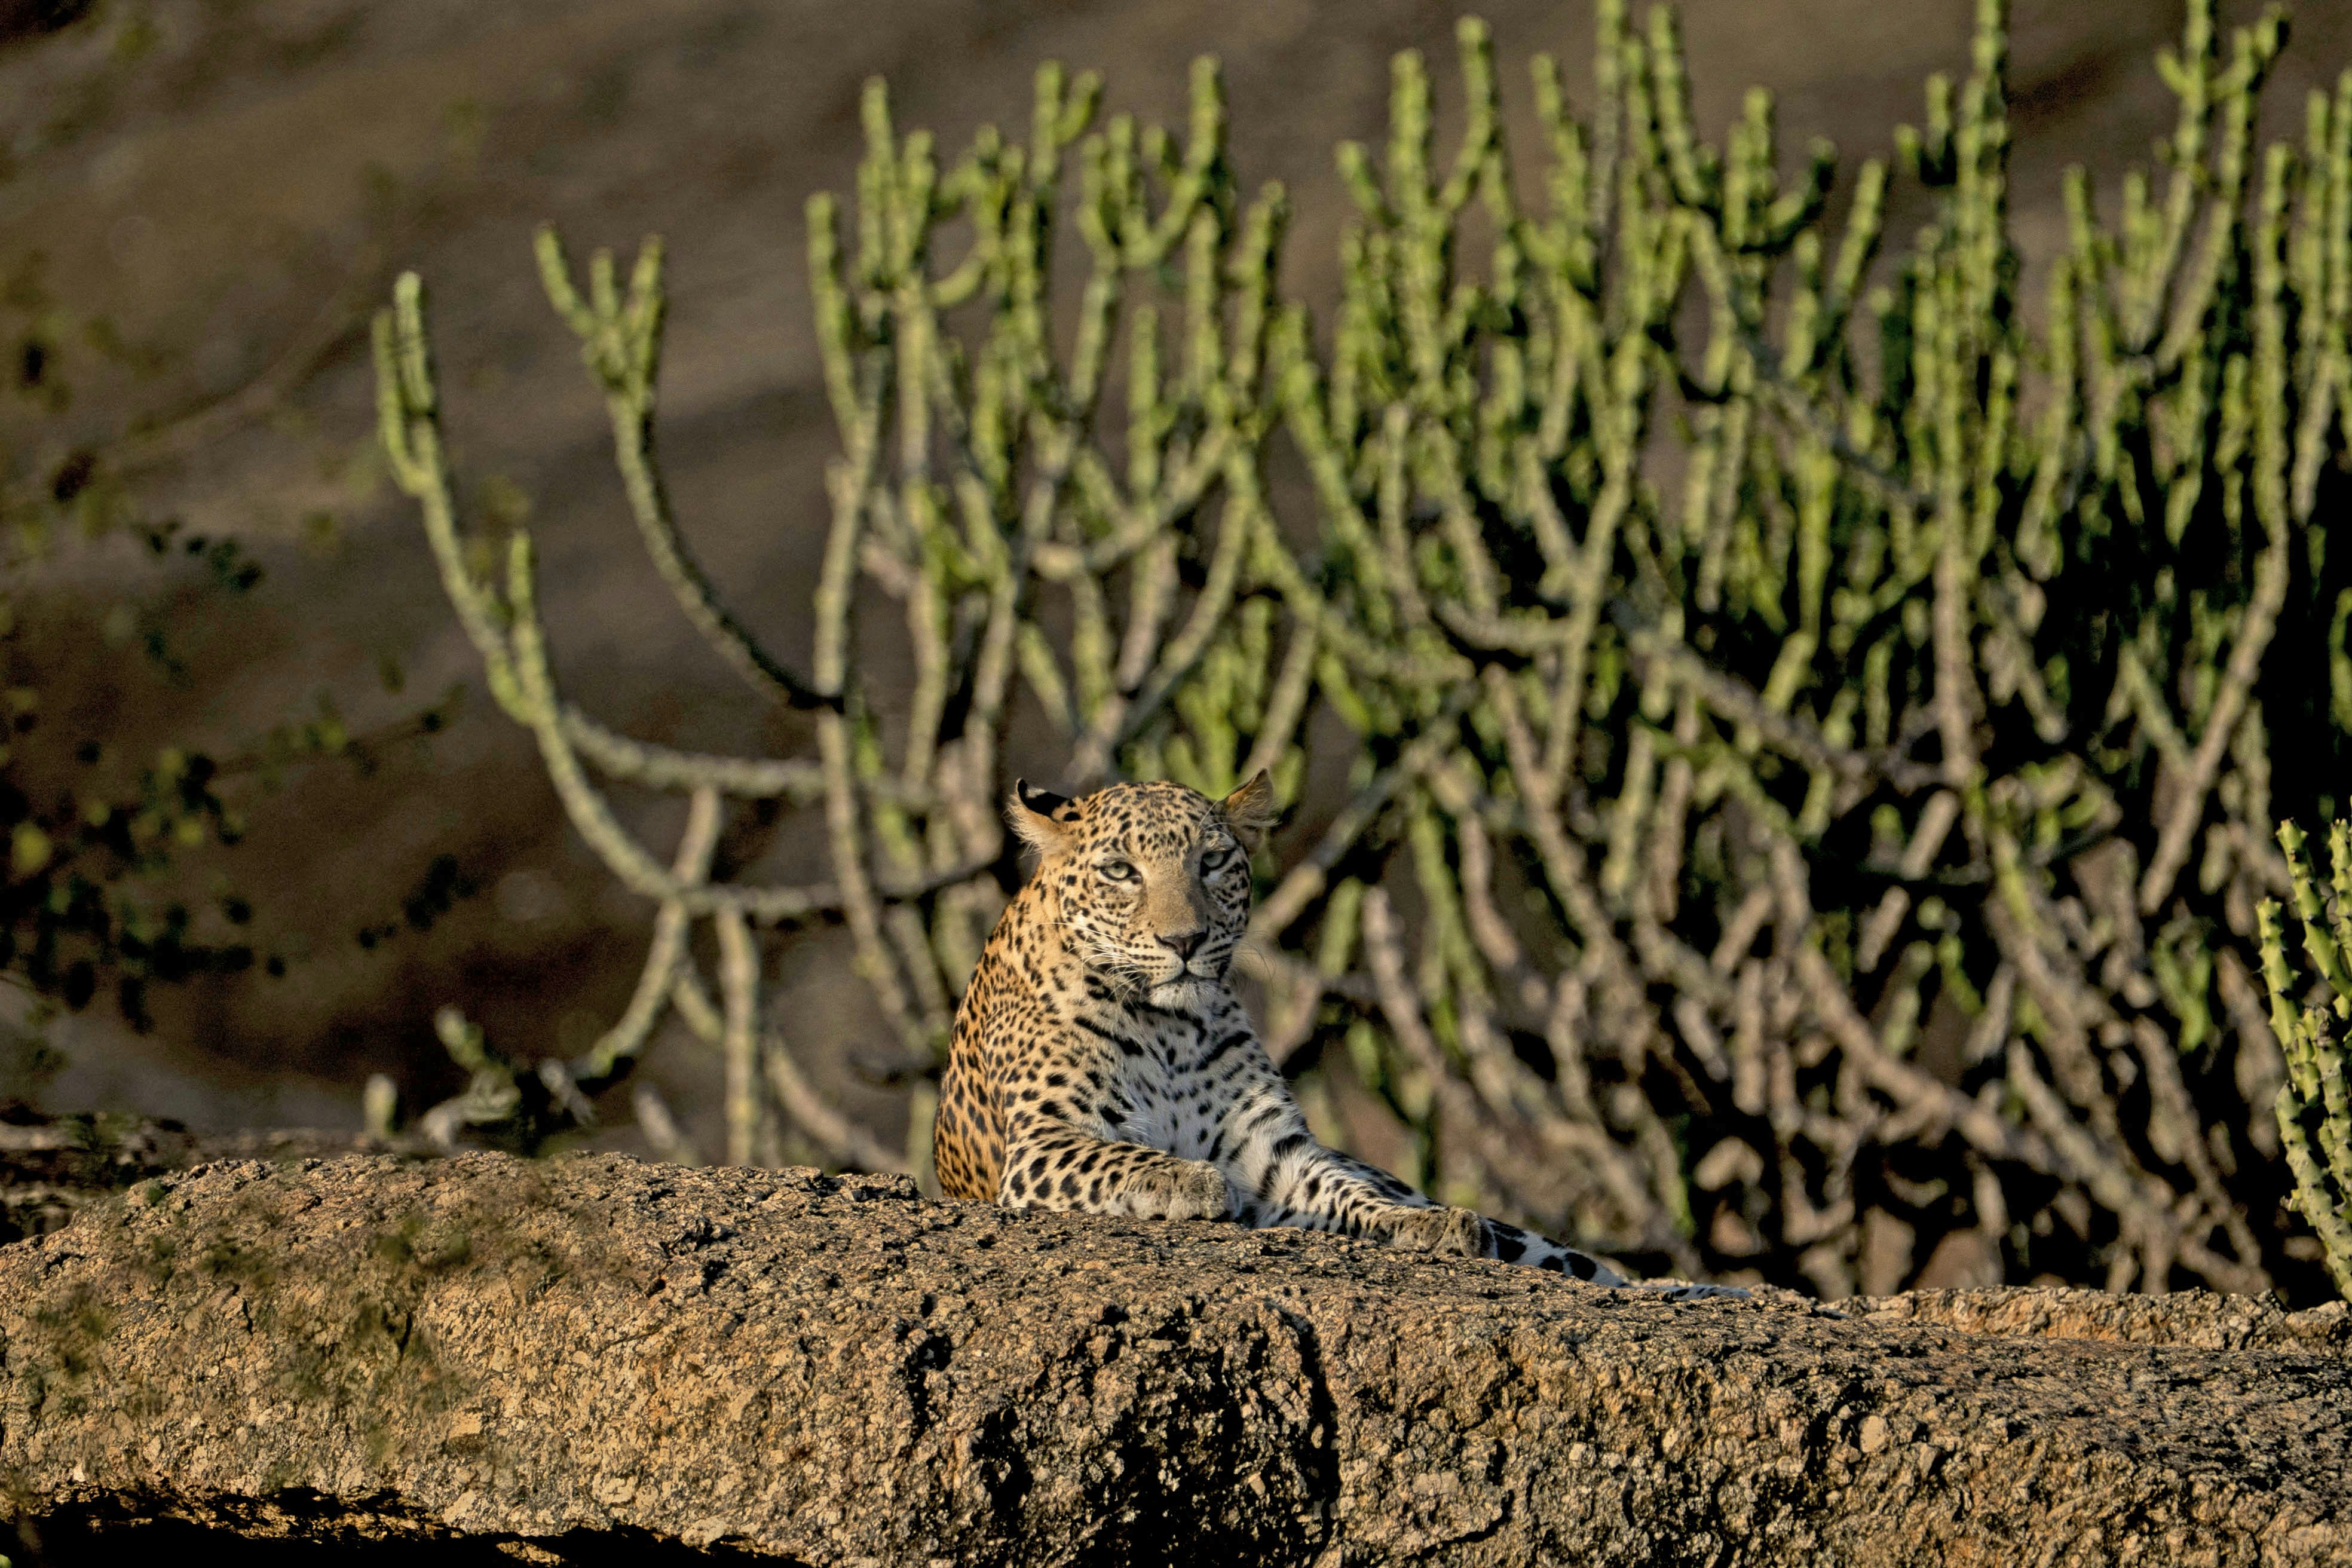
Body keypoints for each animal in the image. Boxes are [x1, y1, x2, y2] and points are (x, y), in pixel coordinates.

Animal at [933, 771, 1737, 1297]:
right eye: (1120, 871)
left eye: (1213, 861)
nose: (1184, 941)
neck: (1169, 1027)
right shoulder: (1043, 1141)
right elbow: (1120, 1156)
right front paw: (1186, 1178)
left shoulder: (1277, 1157)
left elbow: (1351, 1192)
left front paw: (1429, 1224)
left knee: (1588, 1266)